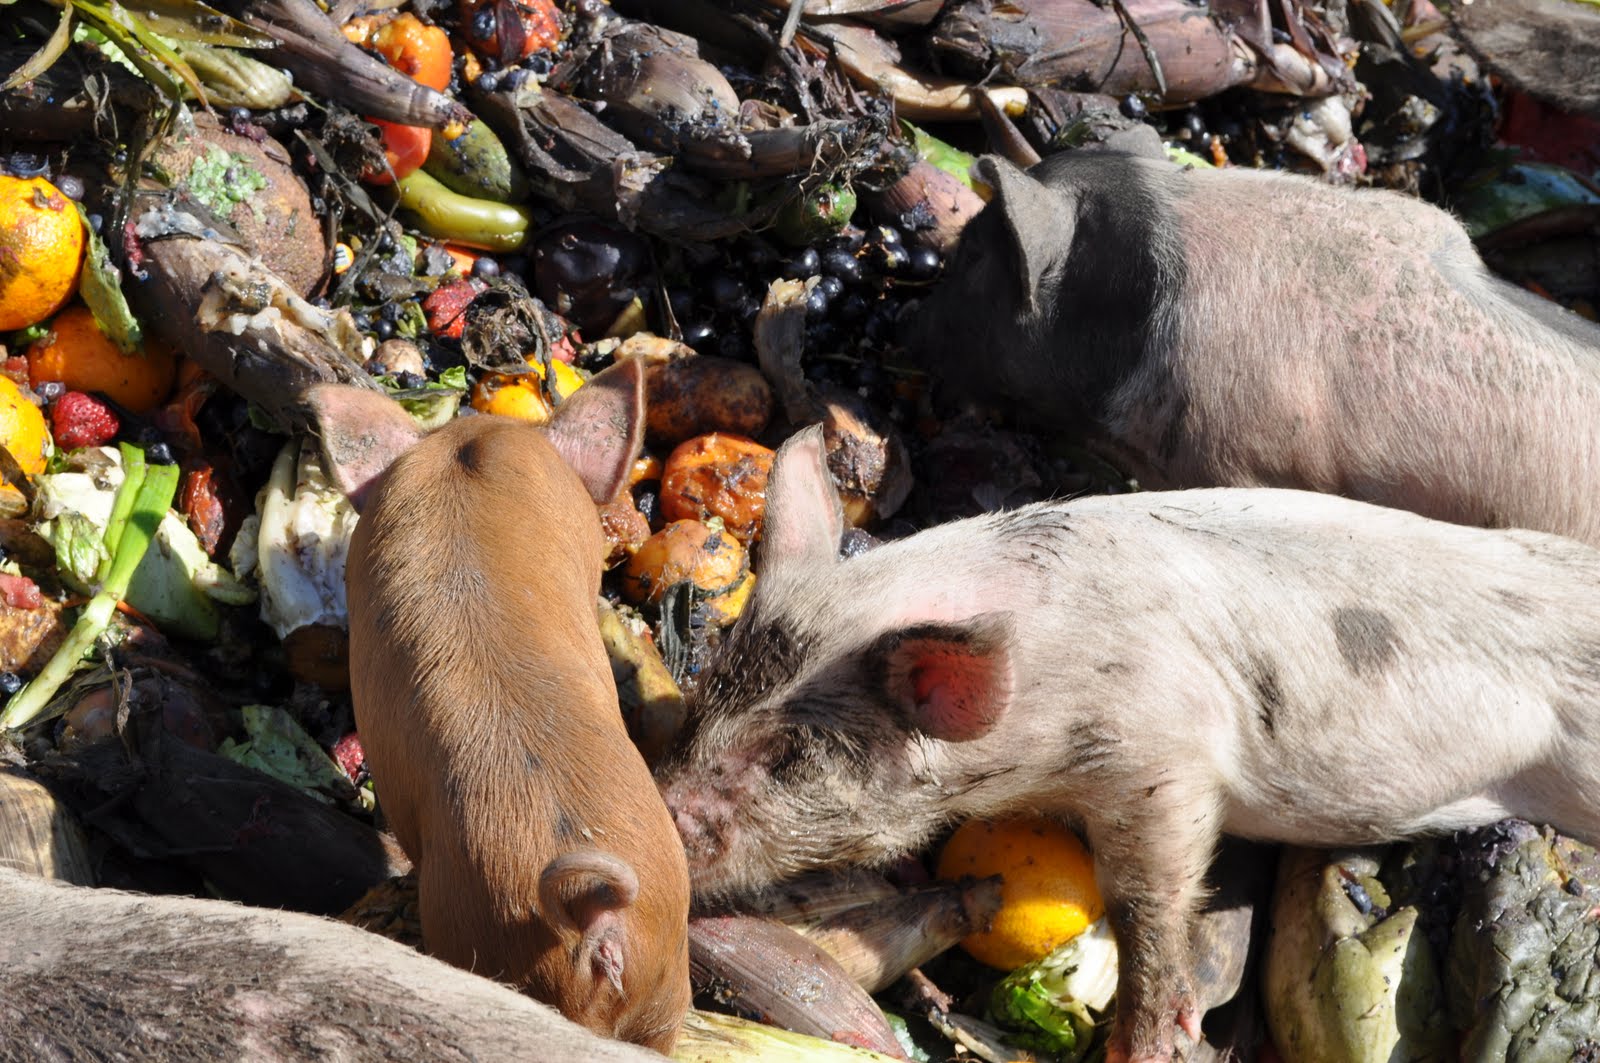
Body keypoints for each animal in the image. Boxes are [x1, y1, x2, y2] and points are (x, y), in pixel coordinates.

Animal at [657, 425, 1600, 1063]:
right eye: (704, 699)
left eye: (787, 755)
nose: (662, 813)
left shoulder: (1163, 756)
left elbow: (1150, 897)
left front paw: (1145, 1042)